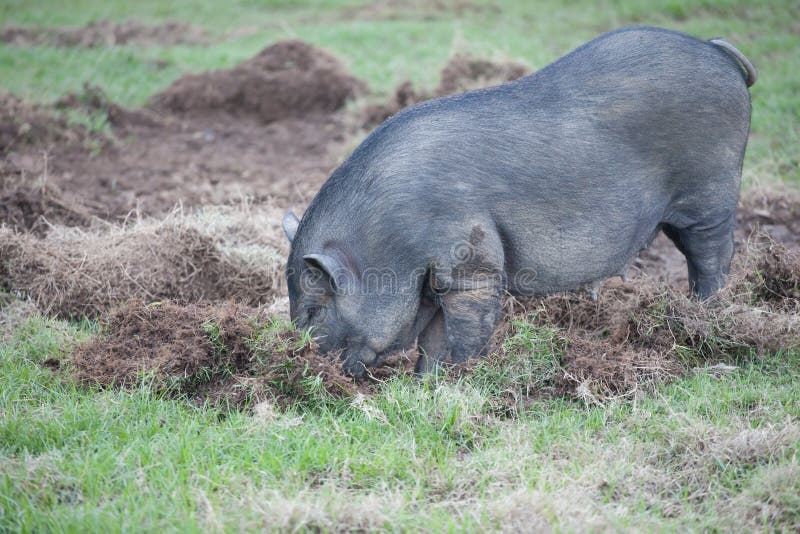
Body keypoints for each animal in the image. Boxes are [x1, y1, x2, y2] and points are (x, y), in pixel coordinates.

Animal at [282, 26, 757, 377]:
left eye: (312, 309)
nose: (310, 367)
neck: (388, 242)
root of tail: (715, 51)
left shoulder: (473, 266)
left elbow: (463, 333)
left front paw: (460, 379)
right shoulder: (434, 282)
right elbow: (432, 339)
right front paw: (424, 385)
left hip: (710, 193)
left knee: (713, 256)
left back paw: (706, 314)